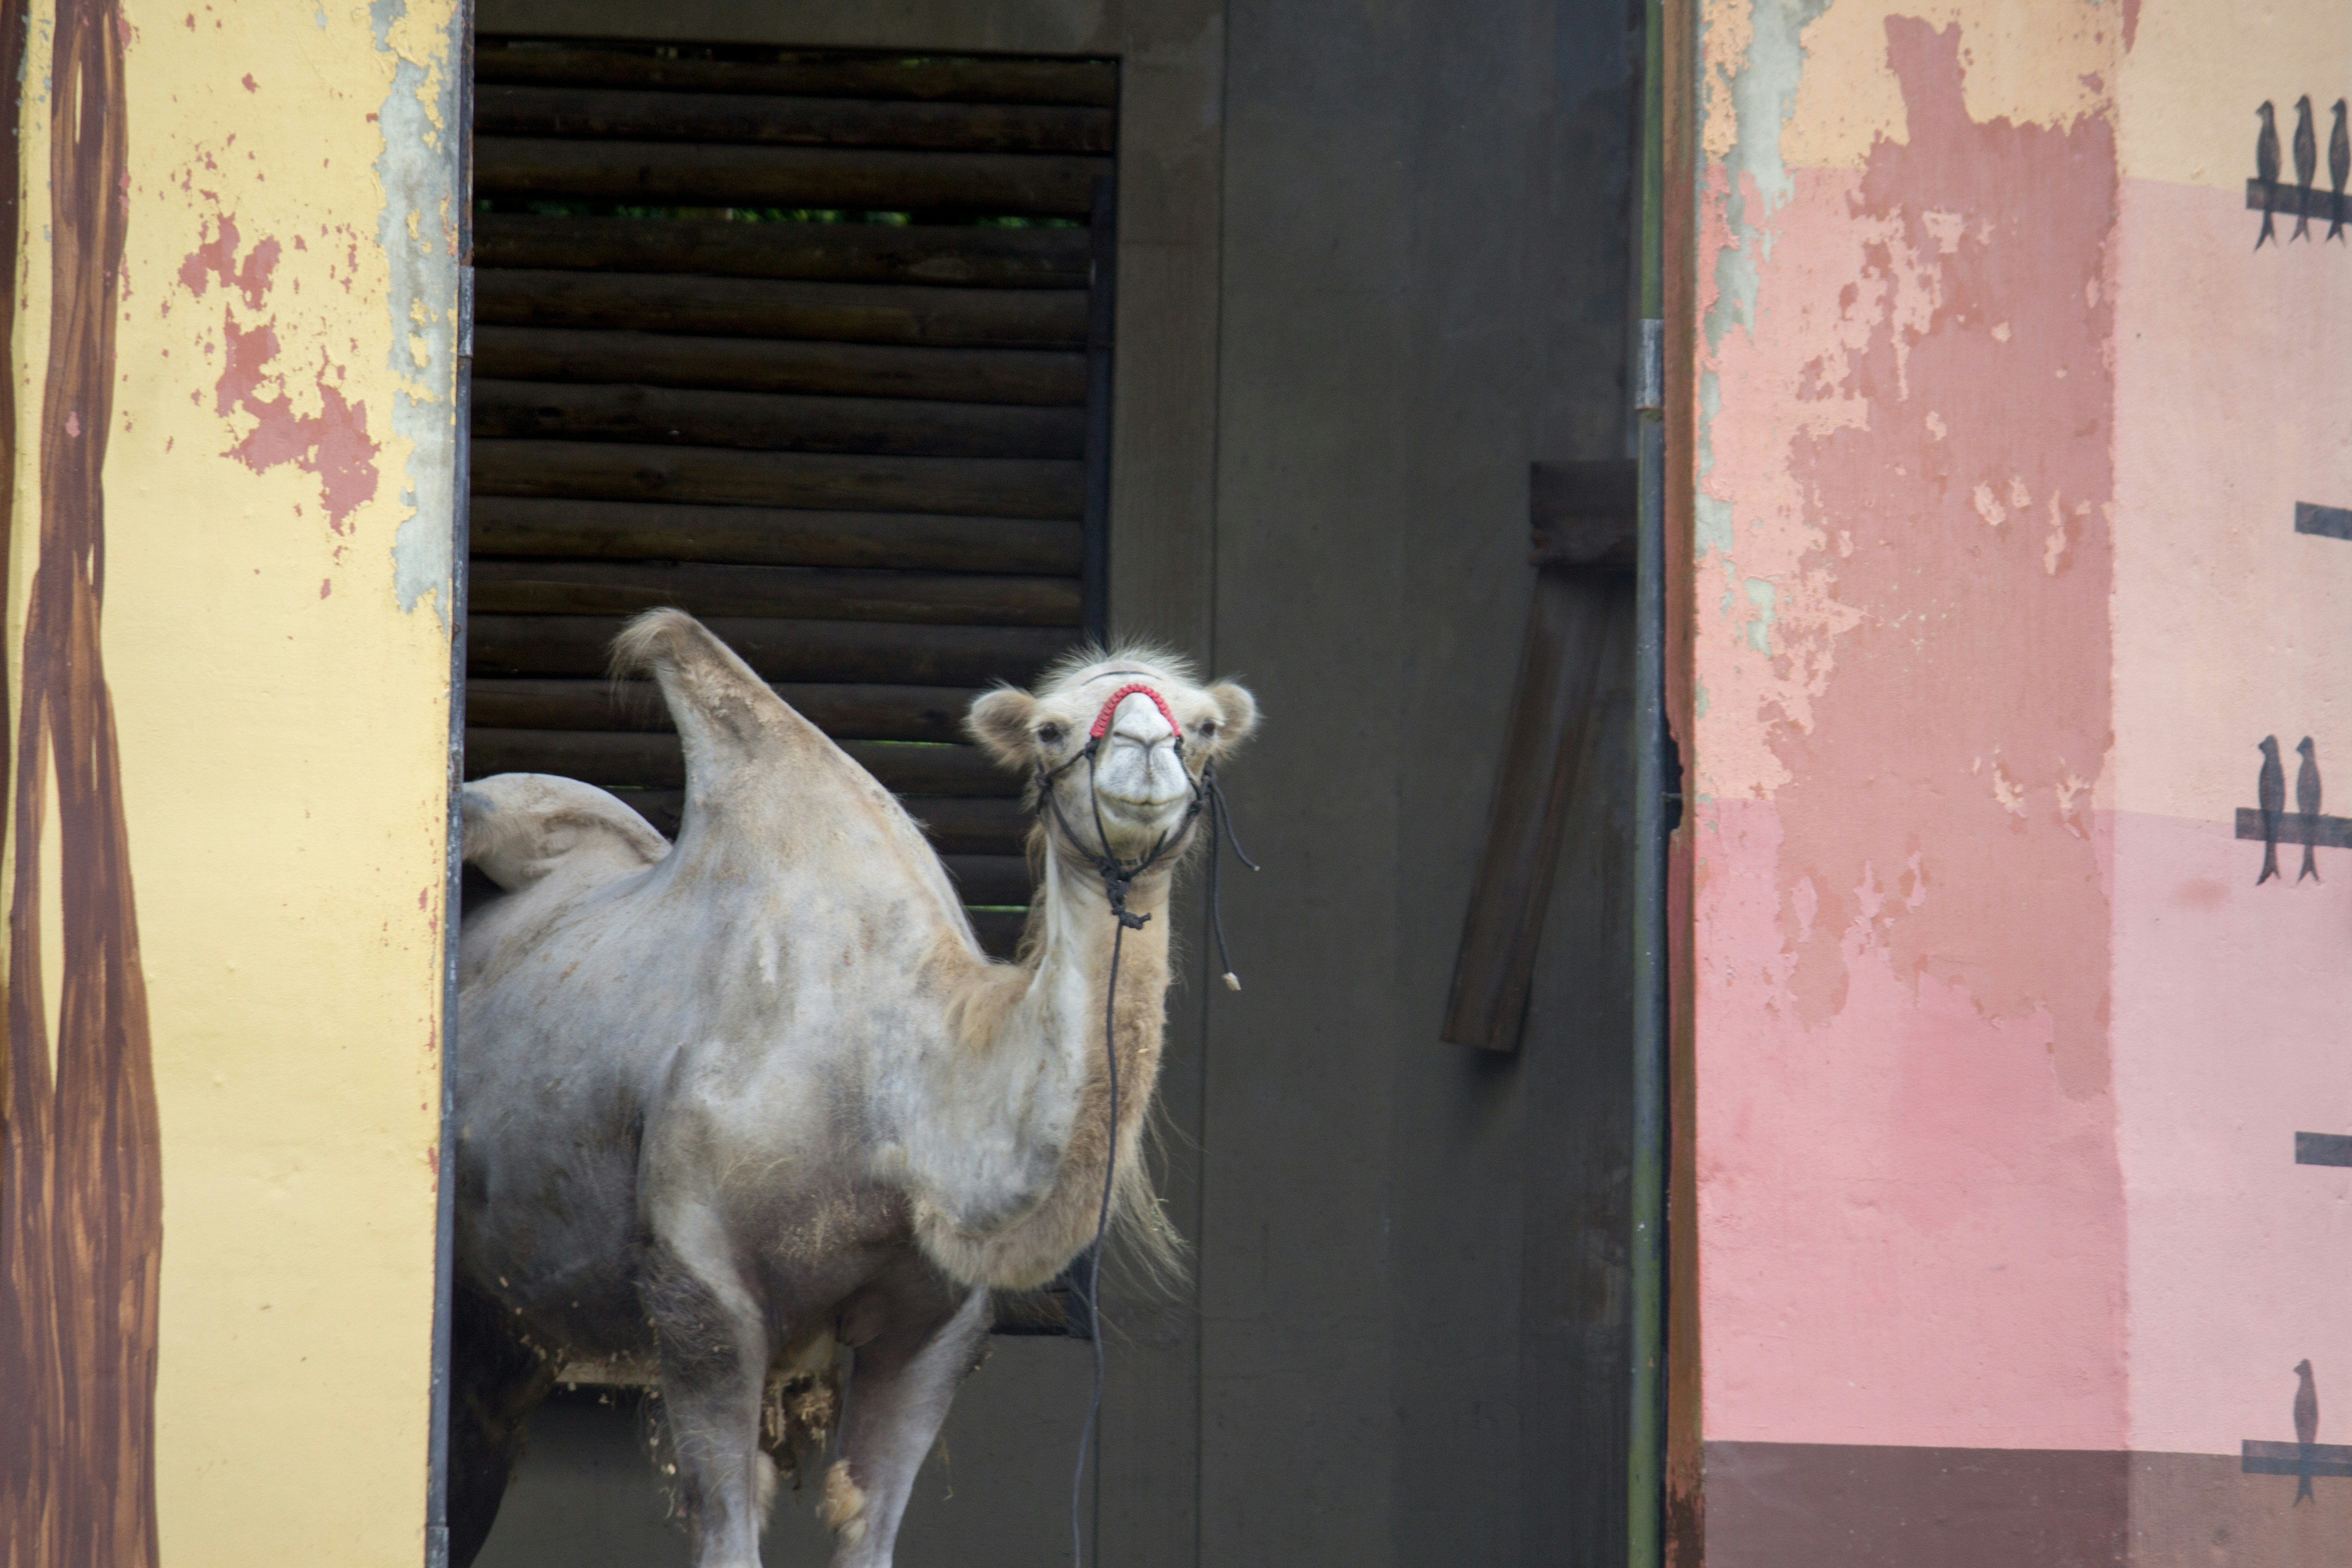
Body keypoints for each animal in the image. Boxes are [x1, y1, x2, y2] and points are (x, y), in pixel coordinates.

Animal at [447, 608, 1258, 1568]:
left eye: (1202, 727)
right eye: (1050, 730)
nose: (1143, 758)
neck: (892, 1097)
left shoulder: (939, 1332)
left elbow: (872, 1532)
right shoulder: (700, 1293)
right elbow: (728, 1535)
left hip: (510, 1338)